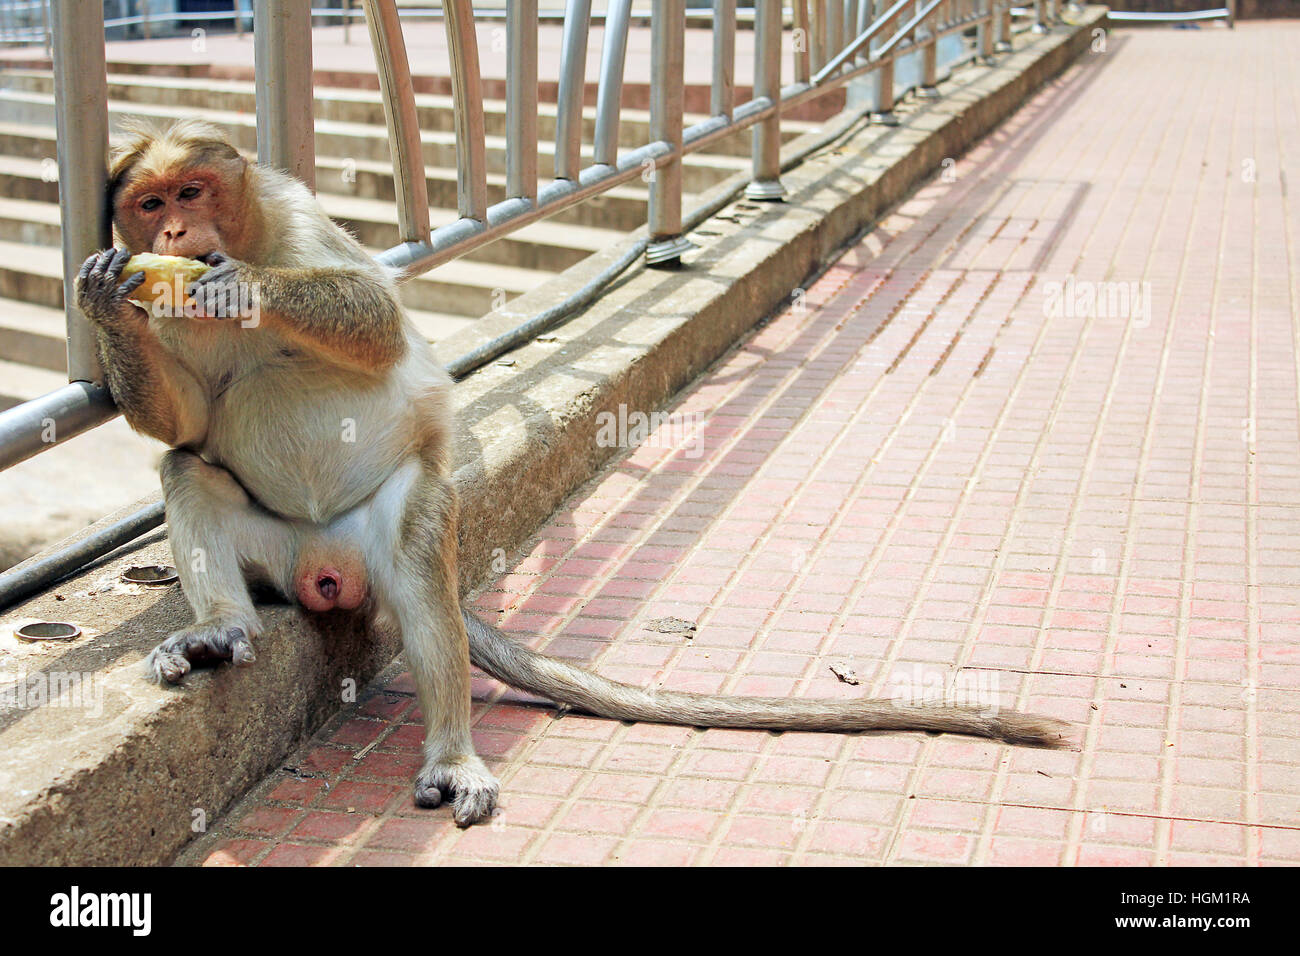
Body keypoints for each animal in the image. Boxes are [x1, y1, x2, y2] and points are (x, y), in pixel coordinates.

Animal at [75, 120, 1069, 827]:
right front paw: (106, 303)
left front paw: (238, 285)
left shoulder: (289, 211)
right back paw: (218, 630)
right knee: (191, 474)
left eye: (193, 191)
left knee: (420, 568)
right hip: (281, 553)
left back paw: (450, 751)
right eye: (148, 202)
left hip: (385, 522)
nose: (175, 229)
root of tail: (327, 564)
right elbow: (186, 424)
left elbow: (376, 319)